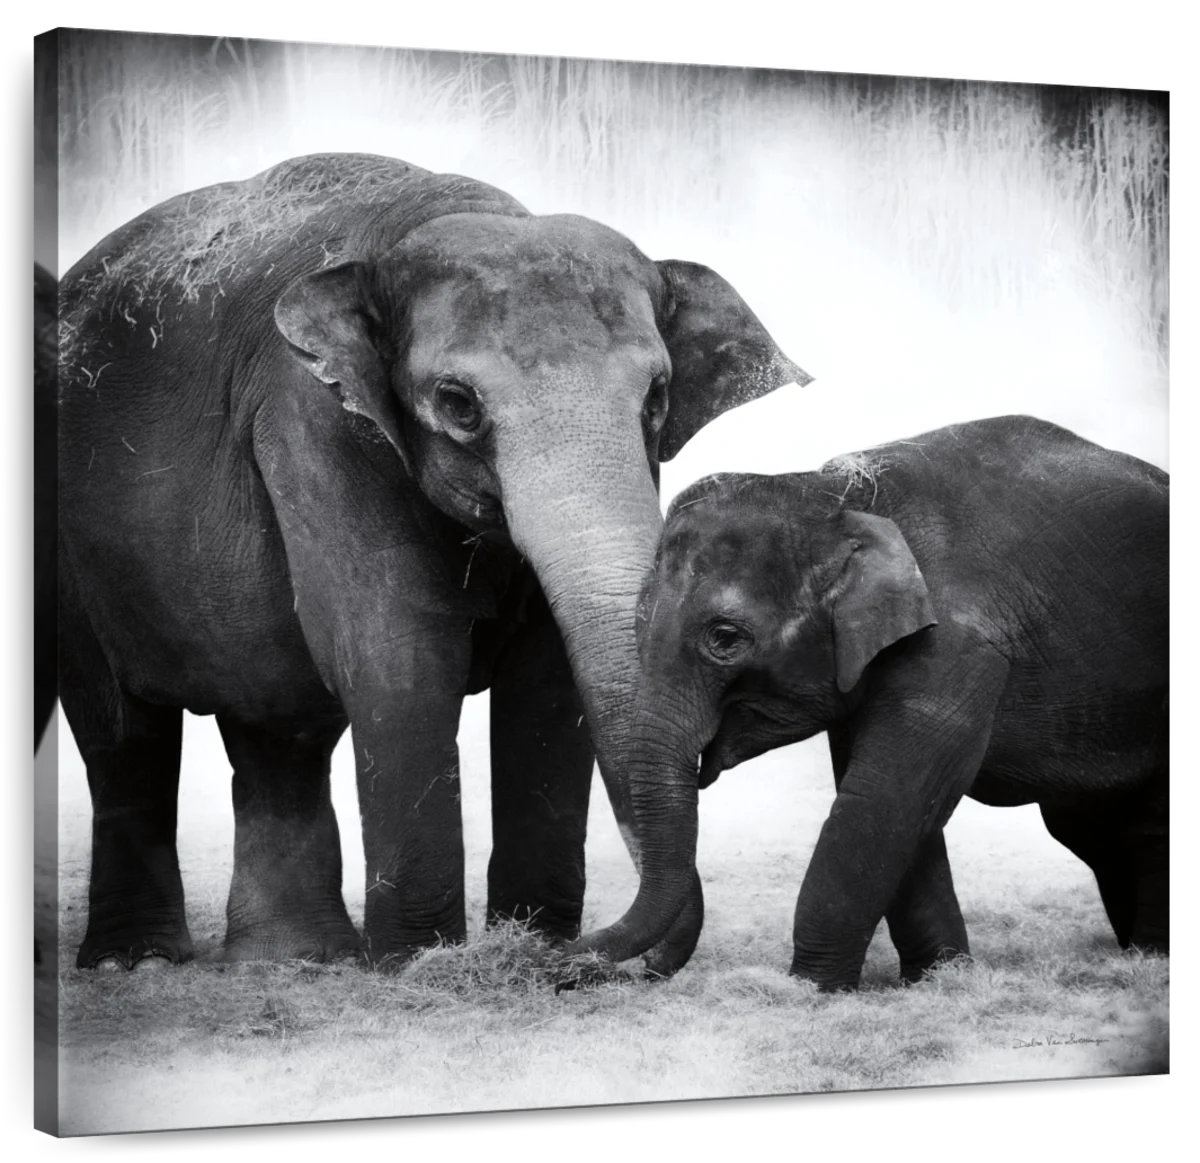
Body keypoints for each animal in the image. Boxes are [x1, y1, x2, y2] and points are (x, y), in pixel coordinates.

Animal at [56, 153, 805, 971]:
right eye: (457, 402)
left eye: (657, 396)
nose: (581, 958)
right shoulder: (315, 419)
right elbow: (399, 657)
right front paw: (422, 962)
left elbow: (548, 681)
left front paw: (528, 943)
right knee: (123, 734)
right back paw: (138, 959)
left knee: (276, 730)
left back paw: (294, 960)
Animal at [575, 415, 1168, 990]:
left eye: (725, 638)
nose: (567, 966)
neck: (837, 496)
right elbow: (897, 808)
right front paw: (936, 979)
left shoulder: (954, 647)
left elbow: (881, 798)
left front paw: (810, 988)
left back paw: (1149, 960)